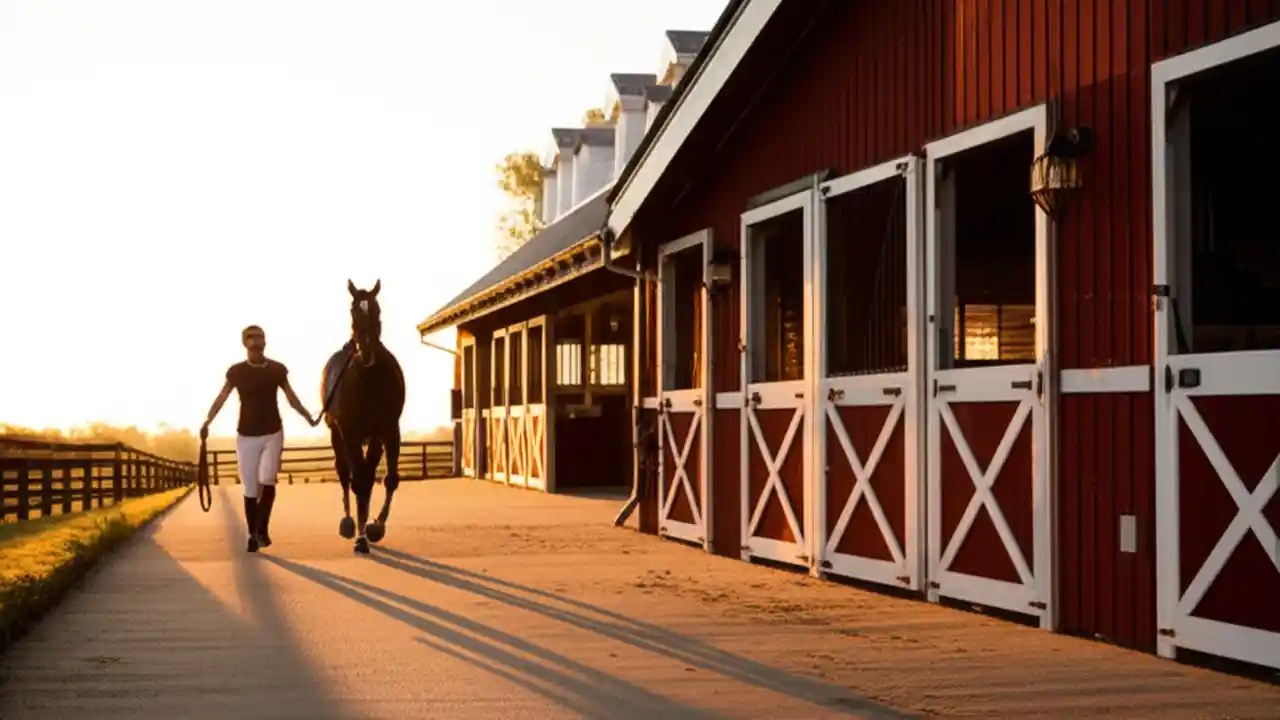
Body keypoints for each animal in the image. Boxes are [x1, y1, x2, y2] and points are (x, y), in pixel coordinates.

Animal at [320, 279, 406, 554]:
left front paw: (375, 526)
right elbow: (357, 480)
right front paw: (360, 536)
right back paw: (349, 523)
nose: (366, 352)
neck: (369, 379)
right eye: (353, 311)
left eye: (377, 310)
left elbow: (388, 479)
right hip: (337, 434)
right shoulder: (350, 432)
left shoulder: (387, 430)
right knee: (345, 473)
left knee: (366, 475)